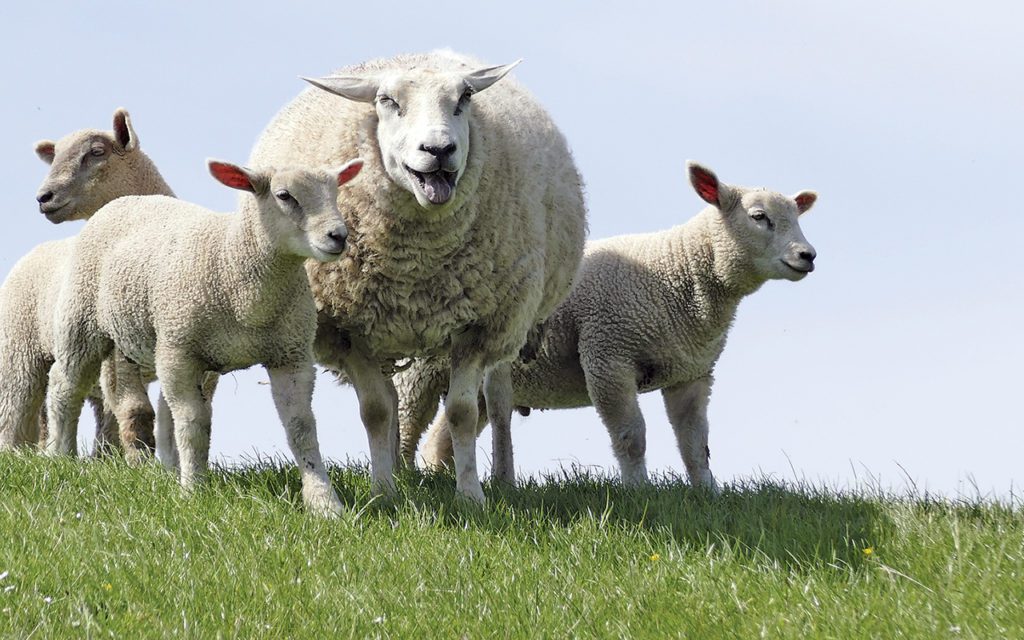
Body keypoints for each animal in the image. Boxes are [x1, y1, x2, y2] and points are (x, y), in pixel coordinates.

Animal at [0, 108, 171, 459]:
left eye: (96, 152)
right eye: (53, 159)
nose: (44, 197)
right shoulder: (117, 355)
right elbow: (135, 410)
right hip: (20, 353)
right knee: (15, 413)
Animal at [43, 158, 362, 515]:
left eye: (335, 191)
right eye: (284, 195)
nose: (338, 236)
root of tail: (126, 200)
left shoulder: (292, 355)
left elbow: (302, 427)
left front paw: (324, 503)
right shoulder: (178, 351)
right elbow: (194, 424)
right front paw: (193, 491)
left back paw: (168, 469)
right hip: (82, 319)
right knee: (65, 384)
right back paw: (59, 454)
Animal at [248, 50, 587, 503]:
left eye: (464, 99)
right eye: (387, 101)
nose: (439, 149)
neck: (417, 265)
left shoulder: (480, 327)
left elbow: (463, 413)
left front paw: (471, 496)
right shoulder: (350, 330)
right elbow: (376, 411)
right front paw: (383, 492)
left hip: (511, 320)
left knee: (498, 402)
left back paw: (503, 477)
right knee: (396, 400)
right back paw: (399, 468)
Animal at [402, 162, 818, 490]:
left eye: (797, 219)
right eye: (759, 217)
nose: (808, 255)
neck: (679, 272)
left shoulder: (692, 374)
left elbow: (696, 445)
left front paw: (707, 494)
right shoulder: (607, 354)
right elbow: (632, 436)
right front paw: (638, 490)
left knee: (442, 439)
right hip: (419, 372)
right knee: (408, 422)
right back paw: (405, 476)